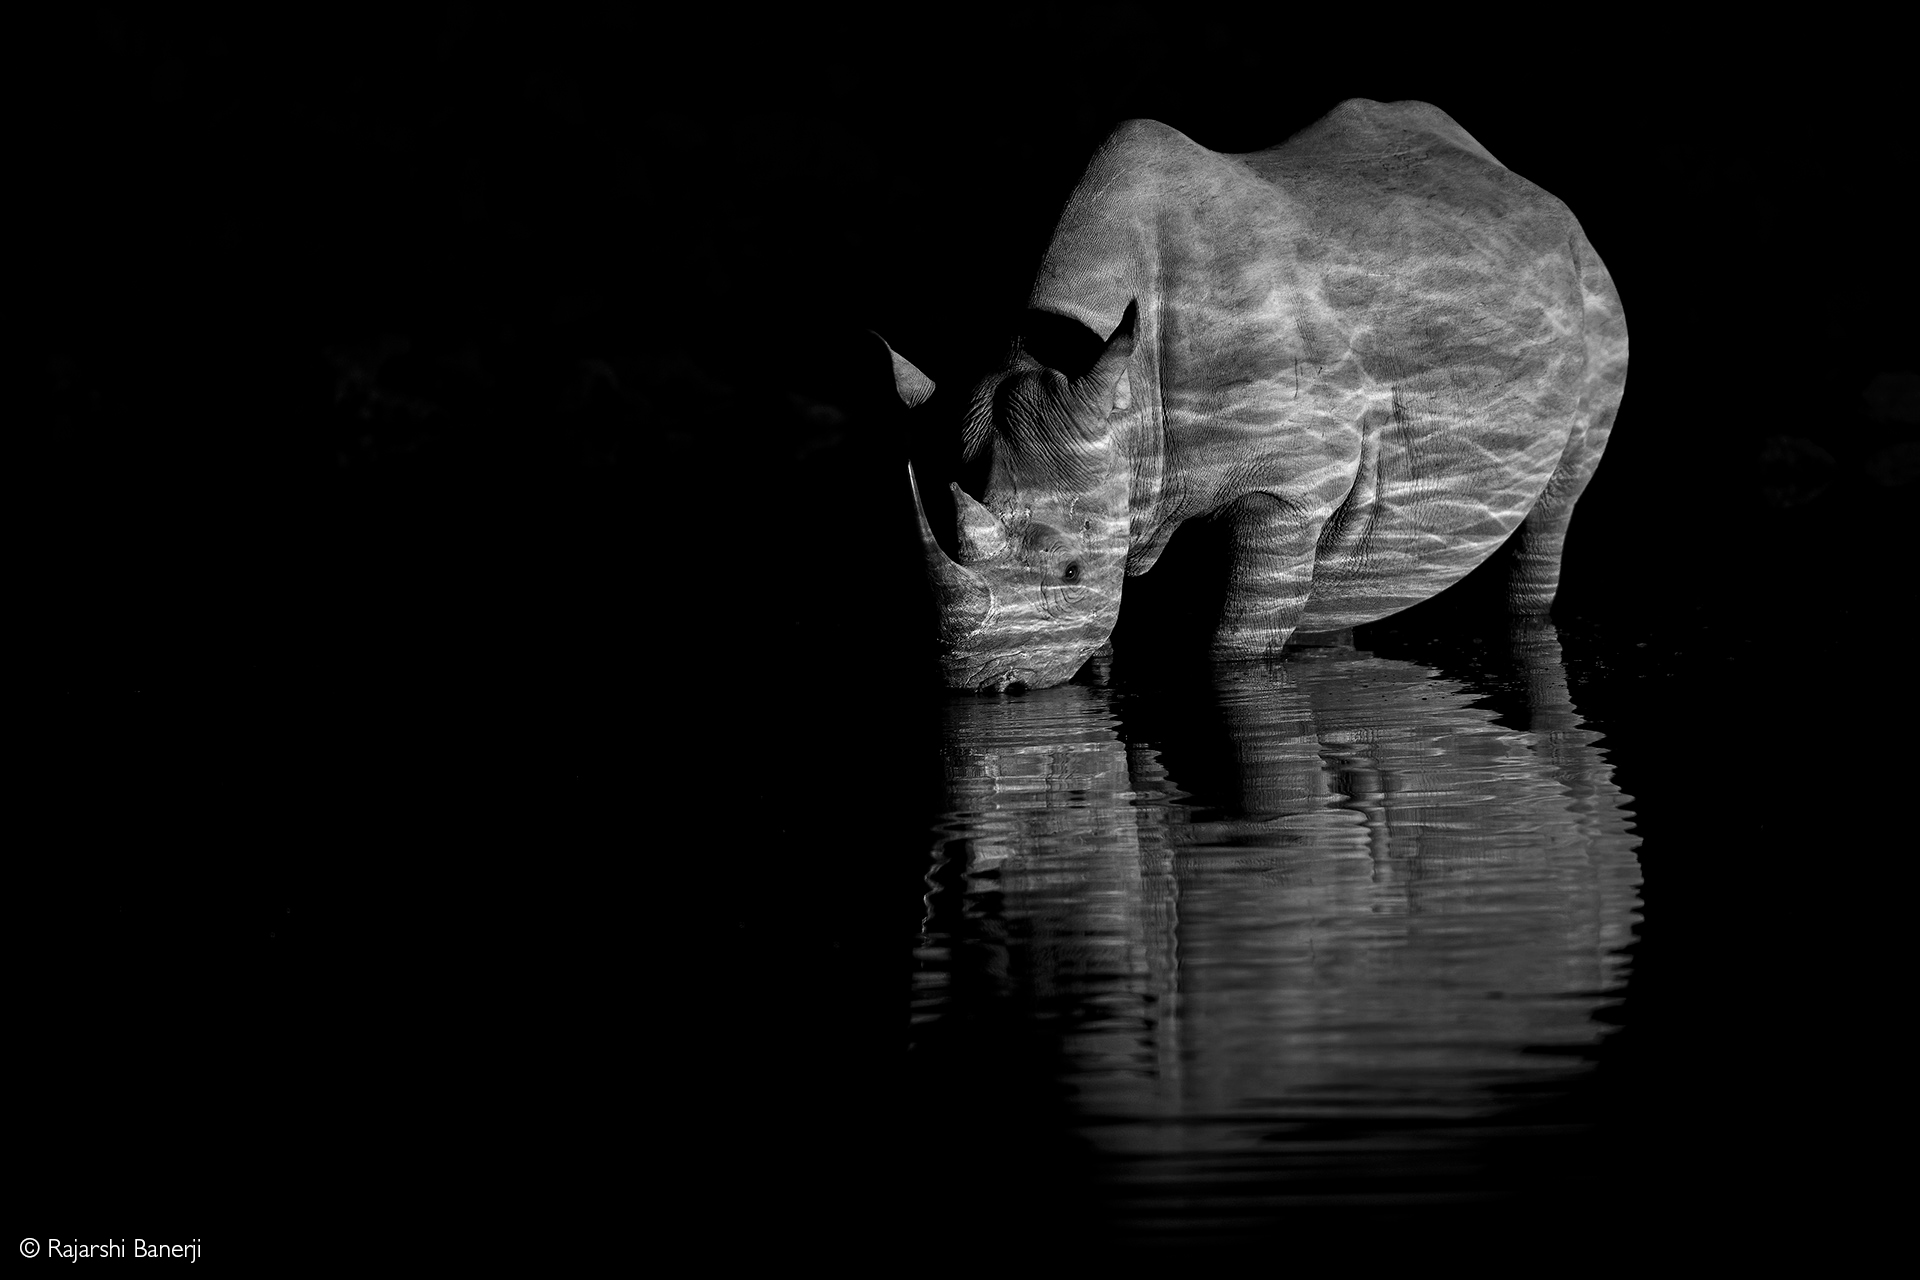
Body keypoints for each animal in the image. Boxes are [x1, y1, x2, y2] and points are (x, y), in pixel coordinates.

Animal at [887, 99, 1628, 693]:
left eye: (1070, 571)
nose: (989, 686)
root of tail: (1532, 190)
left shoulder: (1286, 487)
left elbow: (1232, 649)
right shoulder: (1127, 472)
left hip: (1595, 295)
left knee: (1558, 501)